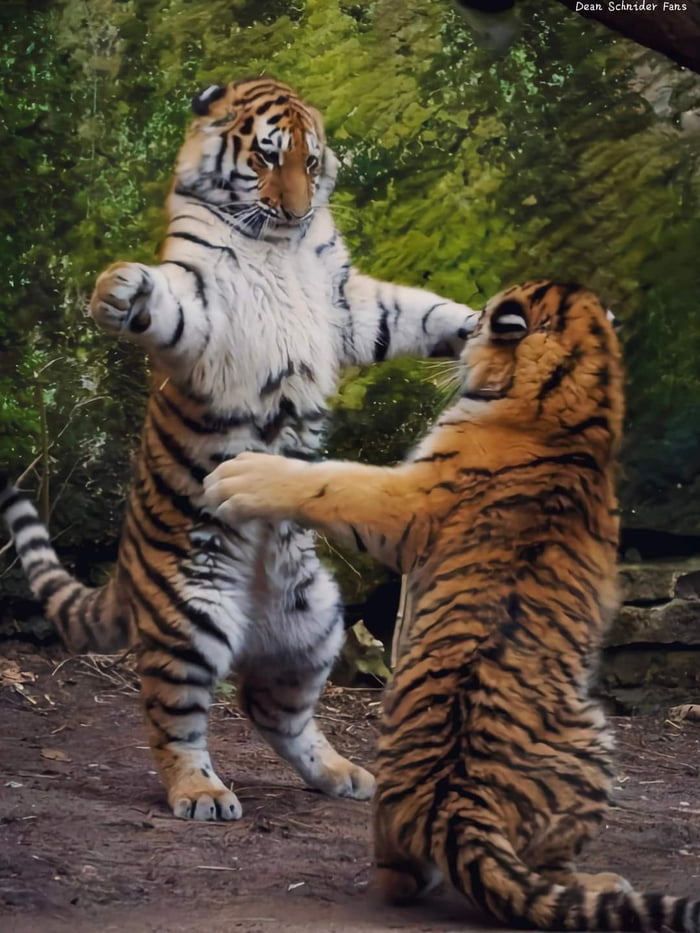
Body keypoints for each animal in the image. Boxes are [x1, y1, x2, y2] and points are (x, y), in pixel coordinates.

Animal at [0, 76, 478, 822]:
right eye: (266, 157)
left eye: (311, 162)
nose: (298, 209)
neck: (277, 244)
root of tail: (125, 567)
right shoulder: (200, 308)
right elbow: (163, 301)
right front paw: (116, 289)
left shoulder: (347, 304)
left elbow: (416, 311)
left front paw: (487, 325)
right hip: (190, 618)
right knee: (172, 721)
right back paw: (201, 792)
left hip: (318, 620)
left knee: (269, 709)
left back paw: (344, 774)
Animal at [203, 281, 700, 931]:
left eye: (484, 319)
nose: (461, 333)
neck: (583, 404)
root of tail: (457, 805)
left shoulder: (405, 501)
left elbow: (331, 483)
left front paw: (241, 476)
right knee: (405, 880)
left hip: (595, 739)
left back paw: (600, 881)